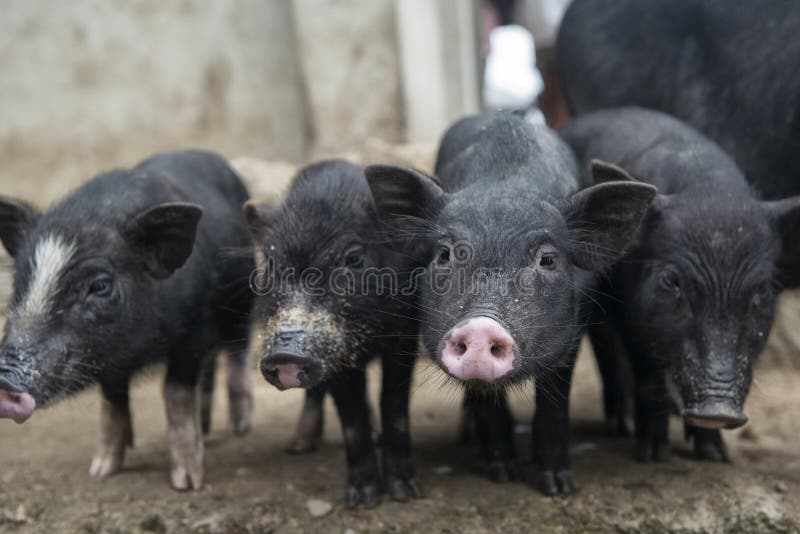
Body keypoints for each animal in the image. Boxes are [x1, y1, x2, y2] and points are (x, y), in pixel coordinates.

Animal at [0, 150, 255, 490]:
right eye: (19, 282)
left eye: (99, 286)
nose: (4, 376)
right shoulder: (107, 358)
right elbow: (113, 402)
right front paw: (101, 470)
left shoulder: (193, 330)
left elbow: (175, 393)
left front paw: (187, 483)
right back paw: (206, 428)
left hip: (242, 298)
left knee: (237, 353)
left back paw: (241, 428)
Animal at [244, 159, 421, 508]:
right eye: (270, 263)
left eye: (353, 258)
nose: (285, 354)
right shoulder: (335, 357)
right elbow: (351, 417)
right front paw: (362, 502)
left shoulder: (405, 333)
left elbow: (394, 402)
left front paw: (404, 494)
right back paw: (299, 446)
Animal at [365, 111, 656, 494]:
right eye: (444, 254)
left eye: (547, 259)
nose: (480, 326)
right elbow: (487, 401)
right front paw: (503, 473)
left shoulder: (574, 329)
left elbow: (554, 400)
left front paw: (557, 486)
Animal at [561, 107, 800, 461]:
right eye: (671, 281)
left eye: (763, 292)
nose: (718, 409)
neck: (709, 189)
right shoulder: (635, 320)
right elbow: (647, 380)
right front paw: (654, 454)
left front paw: (717, 457)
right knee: (606, 347)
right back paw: (621, 426)